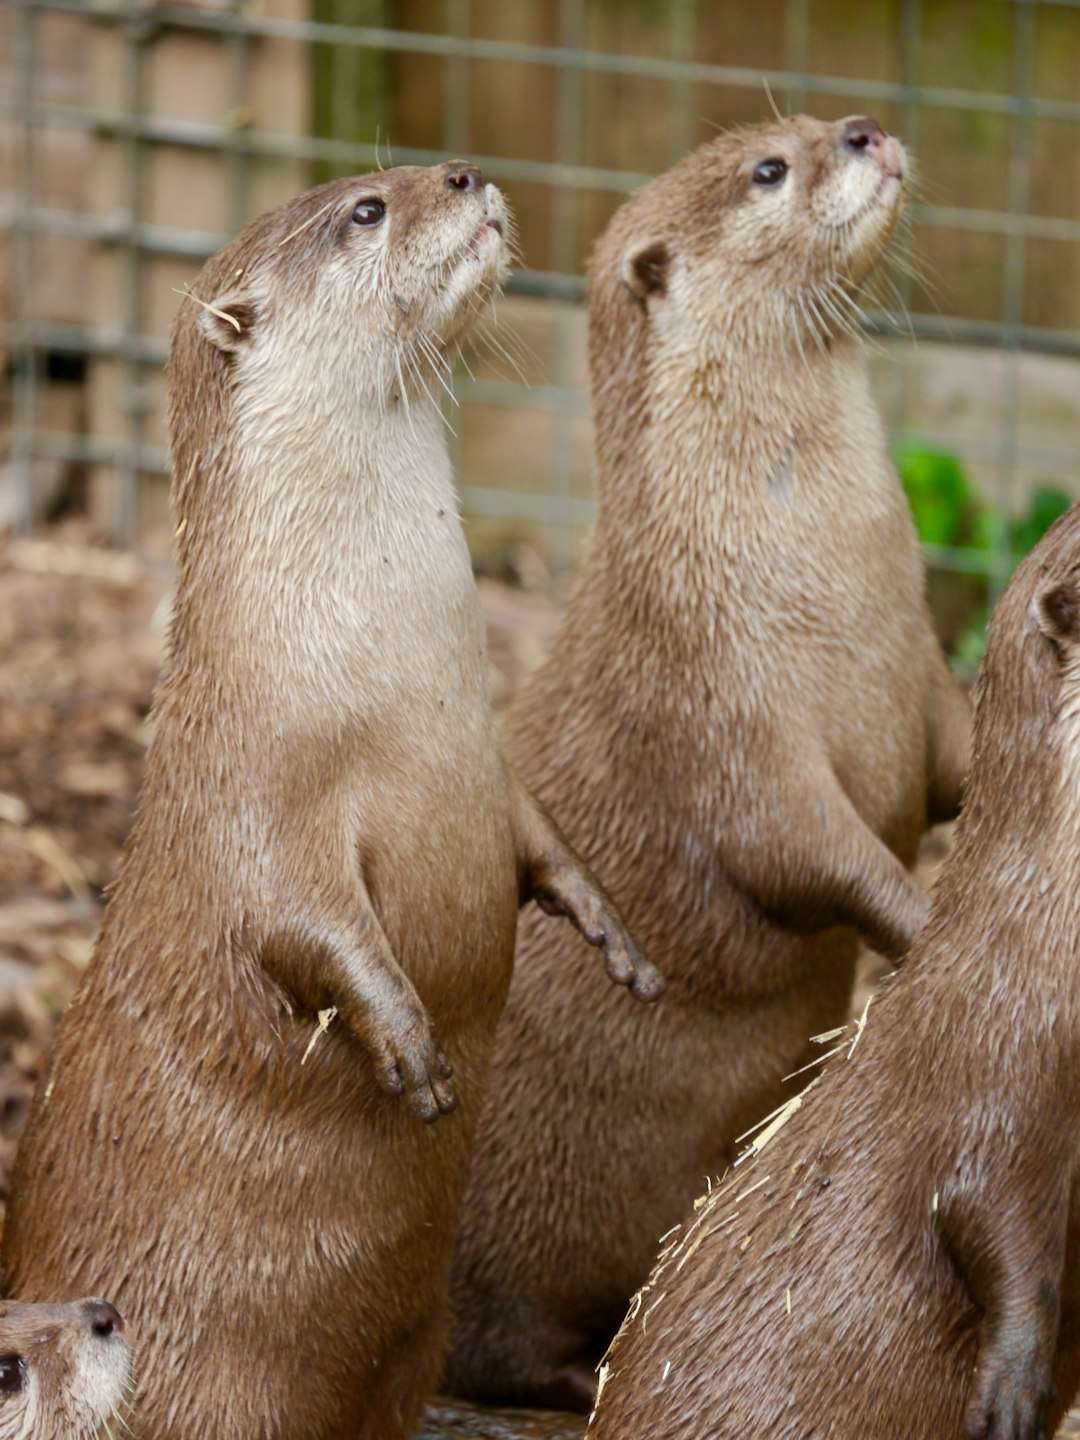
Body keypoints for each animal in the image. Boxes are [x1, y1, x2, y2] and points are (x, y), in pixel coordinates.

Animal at [447, 115, 970, 1410]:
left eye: (815, 127)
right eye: (770, 171)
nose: (863, 129)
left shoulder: (916, 672)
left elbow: (956, 762)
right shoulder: (719, 713)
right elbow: (806, 854)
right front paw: (930, 929)